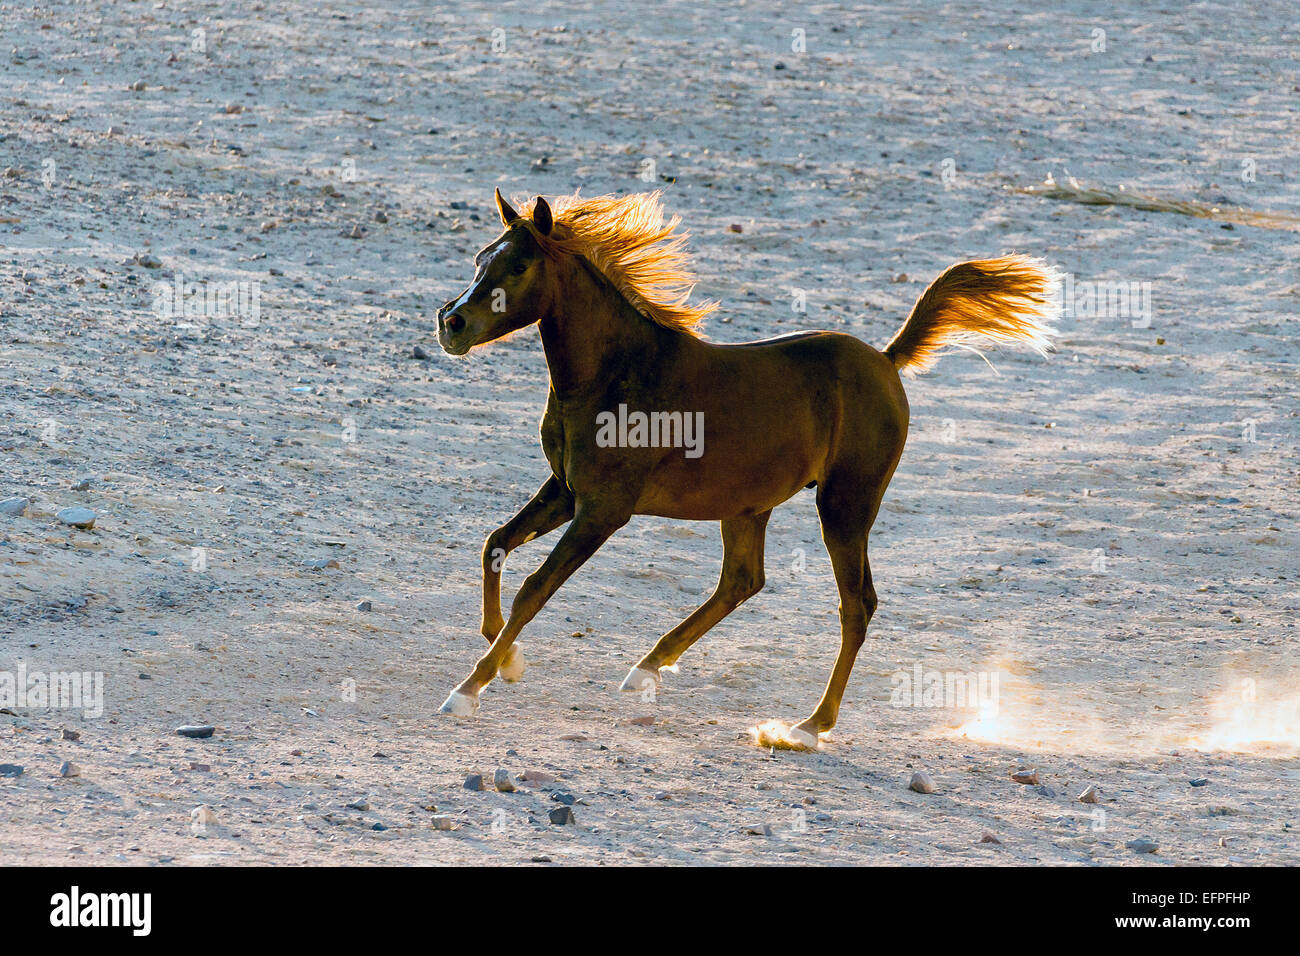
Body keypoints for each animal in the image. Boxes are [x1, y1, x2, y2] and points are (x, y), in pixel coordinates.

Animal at [434, 188, 1059, 748]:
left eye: (518, 265)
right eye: (480, 257)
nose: (451, 323)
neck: (614, 373)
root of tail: (886, 360)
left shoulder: (603, 510)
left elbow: (534, 589)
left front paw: (469, 689)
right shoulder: (565, 491)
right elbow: (495, 545)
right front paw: (506, 658)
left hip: (844, 506)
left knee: (855, 605)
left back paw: (809, 726)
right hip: (748, 506)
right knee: (743, 580)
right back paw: (648, 668)